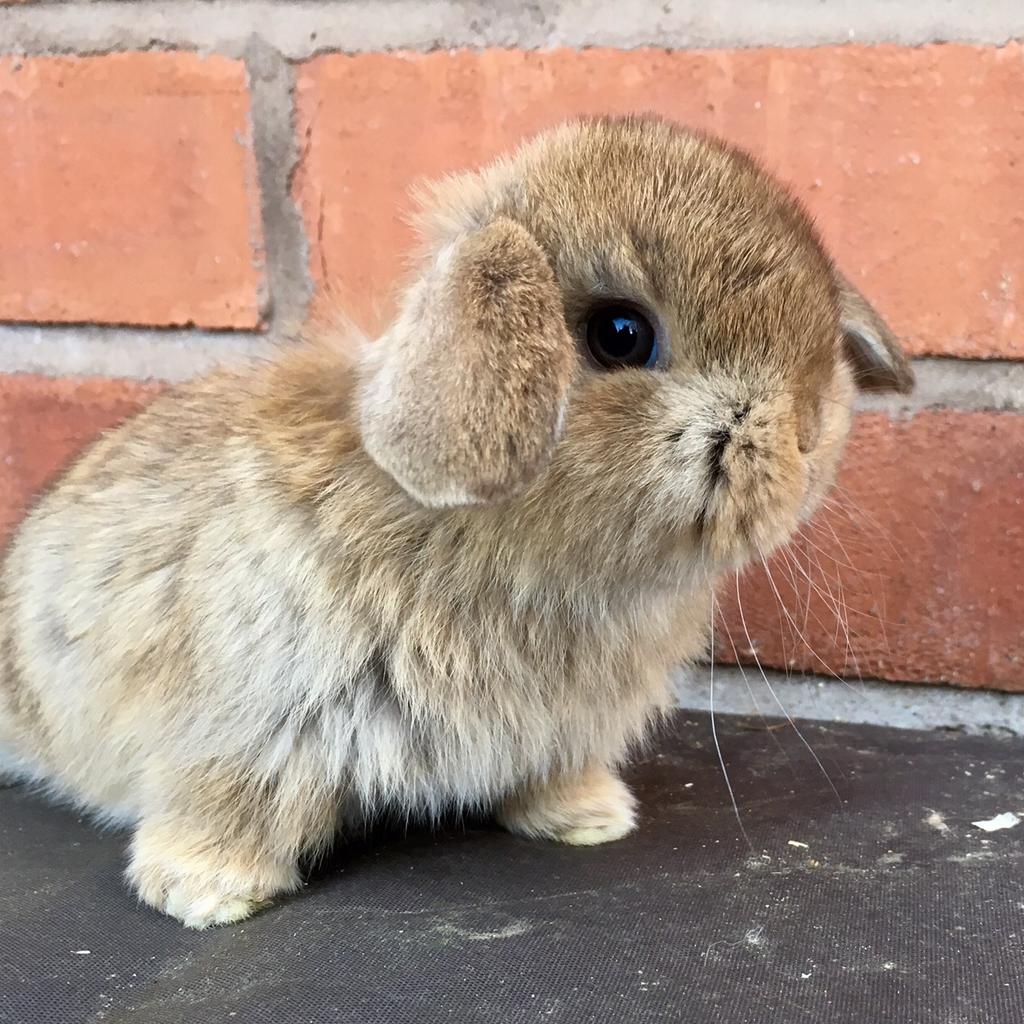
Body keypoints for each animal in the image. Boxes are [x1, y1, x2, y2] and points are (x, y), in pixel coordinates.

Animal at [0, 115, 912, 928]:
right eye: (621, 334)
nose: (807, 433)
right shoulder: (252, 725)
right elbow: (228, 799)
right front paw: (205, 892)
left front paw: (592, 817)